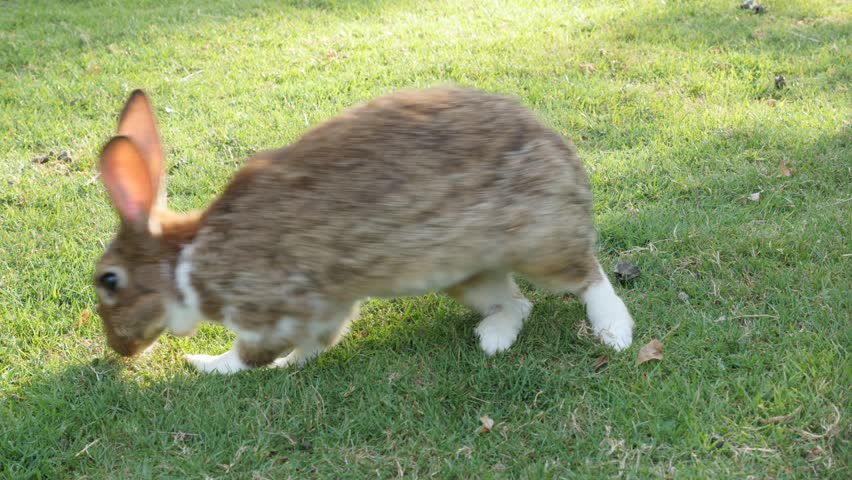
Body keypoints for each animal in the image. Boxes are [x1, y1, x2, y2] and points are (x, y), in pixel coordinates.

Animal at [93, 87, 634, 374]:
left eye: (109, 280)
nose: (118, 348)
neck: (183, 262)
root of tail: (560, 151)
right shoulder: (327, 307)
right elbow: (315, 343)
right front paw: (289, 366)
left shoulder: (269, 310)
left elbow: (250, 355)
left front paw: (204, 363)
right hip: (467, 275)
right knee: (516, 304)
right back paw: (493, 339)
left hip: (539, 242)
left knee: (586, 277)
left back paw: (616, 334)